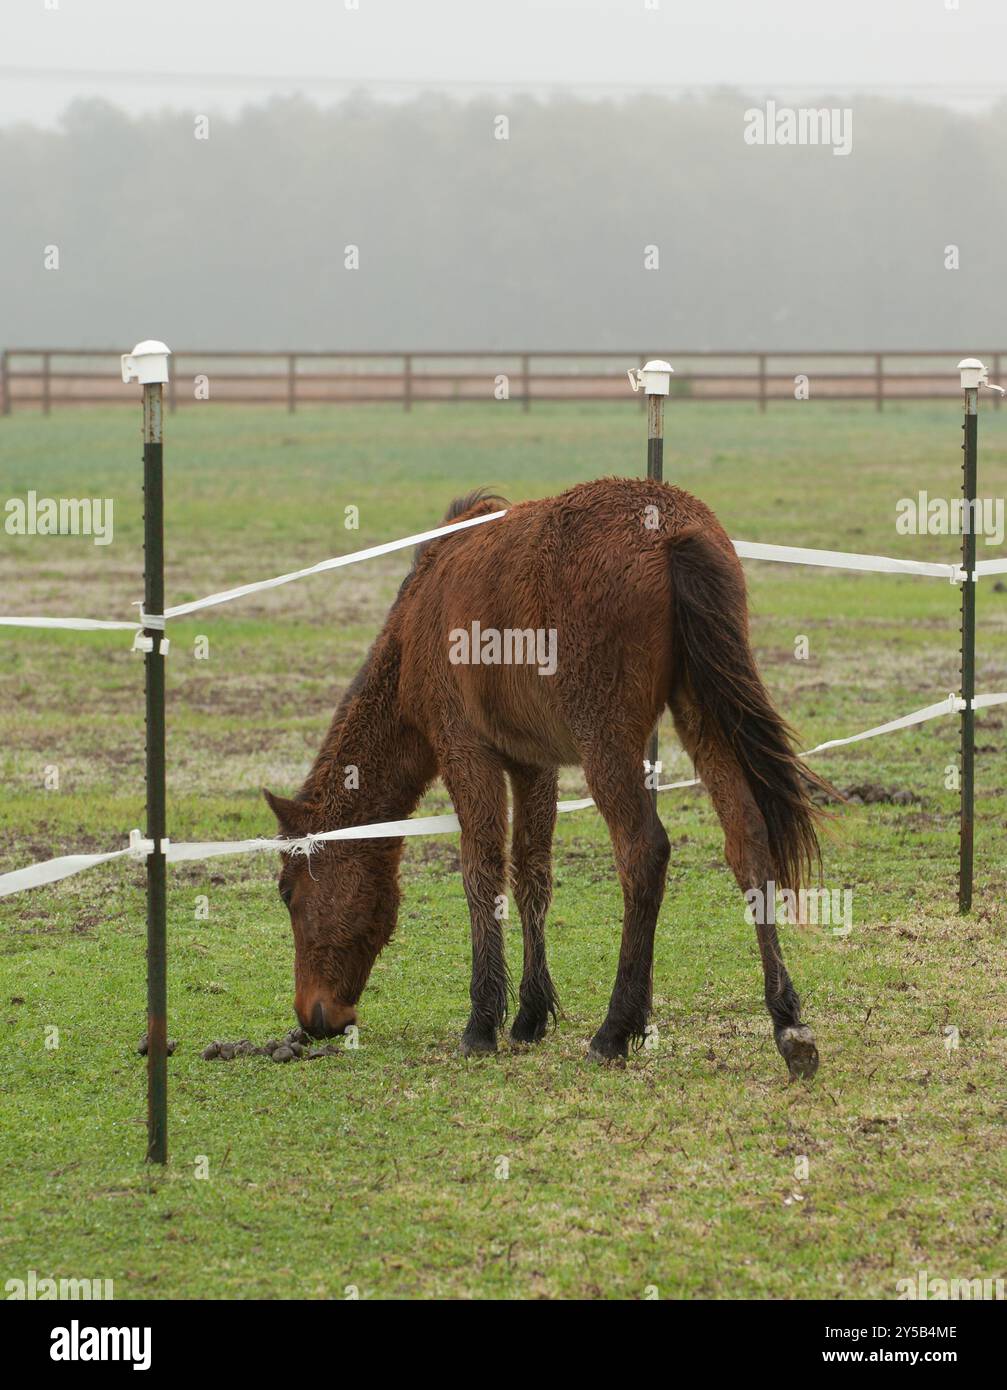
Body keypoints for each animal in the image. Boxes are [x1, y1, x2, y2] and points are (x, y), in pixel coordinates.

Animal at [264, 477, 825, 1079]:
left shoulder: (467, 751)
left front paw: (482, 1021)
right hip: (702, 715)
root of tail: (675, 530)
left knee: (643, 851)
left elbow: (482, 870)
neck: (419, 616)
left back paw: (614, 1029)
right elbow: (532, 872)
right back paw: (787, 1020)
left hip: (607, 743)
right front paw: (530, 1015)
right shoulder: (532, 764)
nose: (314, 1017)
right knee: (747, 839)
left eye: (288, 891)